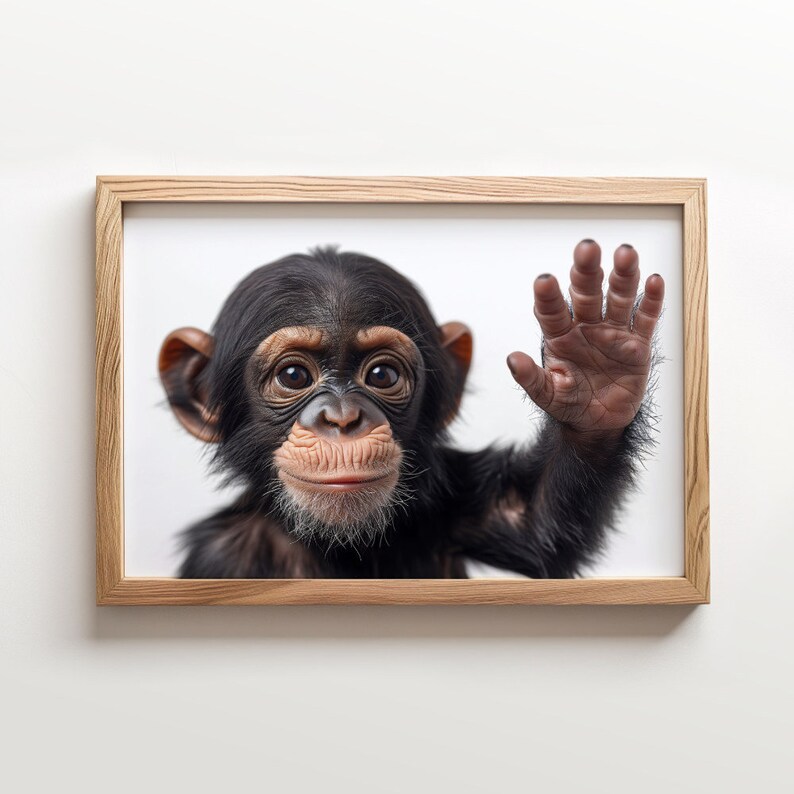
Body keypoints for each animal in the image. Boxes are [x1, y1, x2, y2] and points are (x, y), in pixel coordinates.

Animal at [158, 240, 664, 578]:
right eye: (294, 377)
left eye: (382, 376)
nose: (342, 418)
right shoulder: (219, 561)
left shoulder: (453, 499)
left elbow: (532, 520)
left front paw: (596, 370)